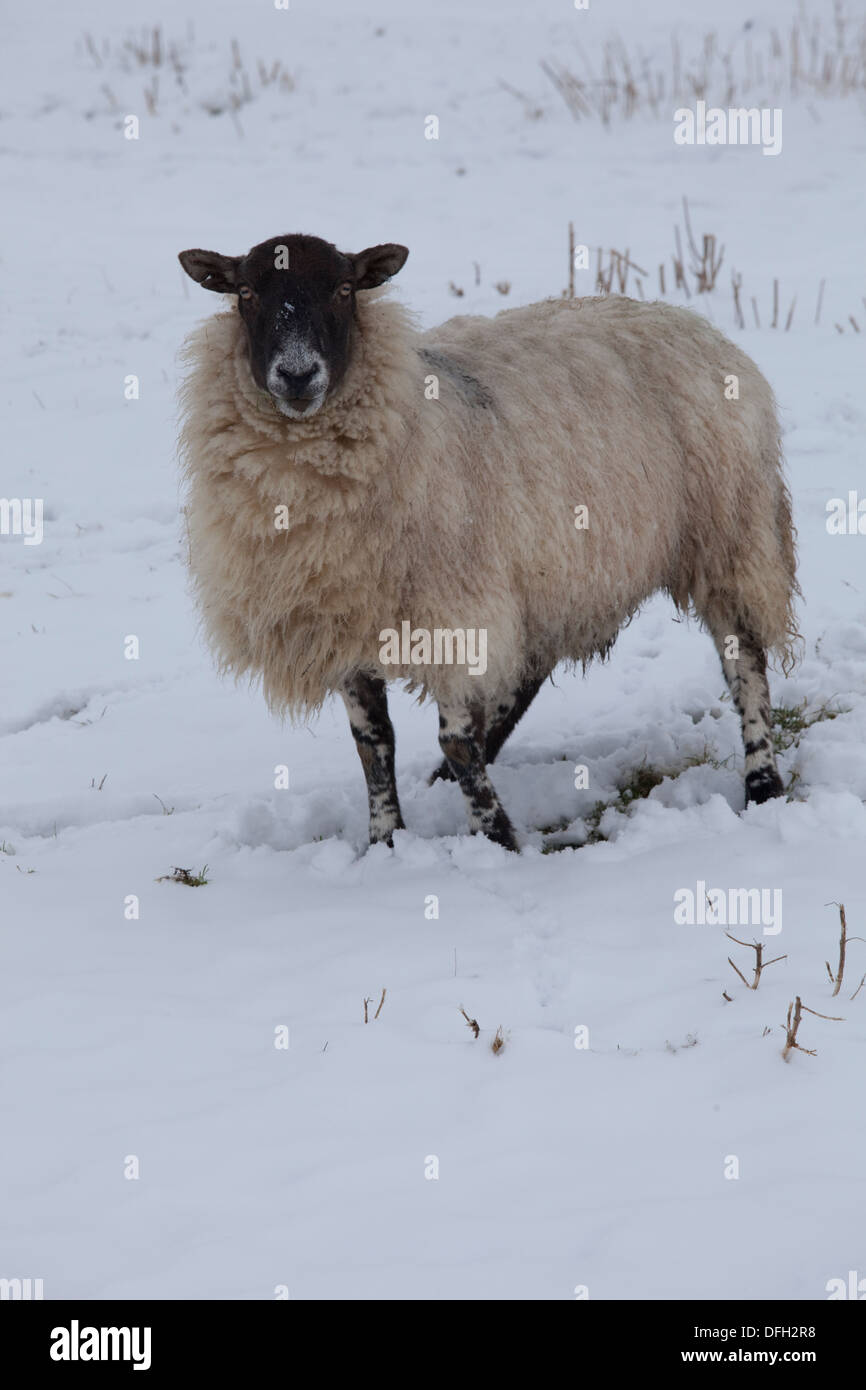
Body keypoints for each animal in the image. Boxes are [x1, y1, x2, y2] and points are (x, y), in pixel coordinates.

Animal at [177, 232, 799, 852]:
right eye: (246, 293)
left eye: (345, 288)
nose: (298, 375)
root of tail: (694, 323)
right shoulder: (343, 618)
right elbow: (372, 742)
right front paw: (385, 841)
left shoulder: (453, 607)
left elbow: (455, 738)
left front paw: (495, 838)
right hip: (552, 570)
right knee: (526, 675)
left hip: (728, 534)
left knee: (745, 661)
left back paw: (763, 783)